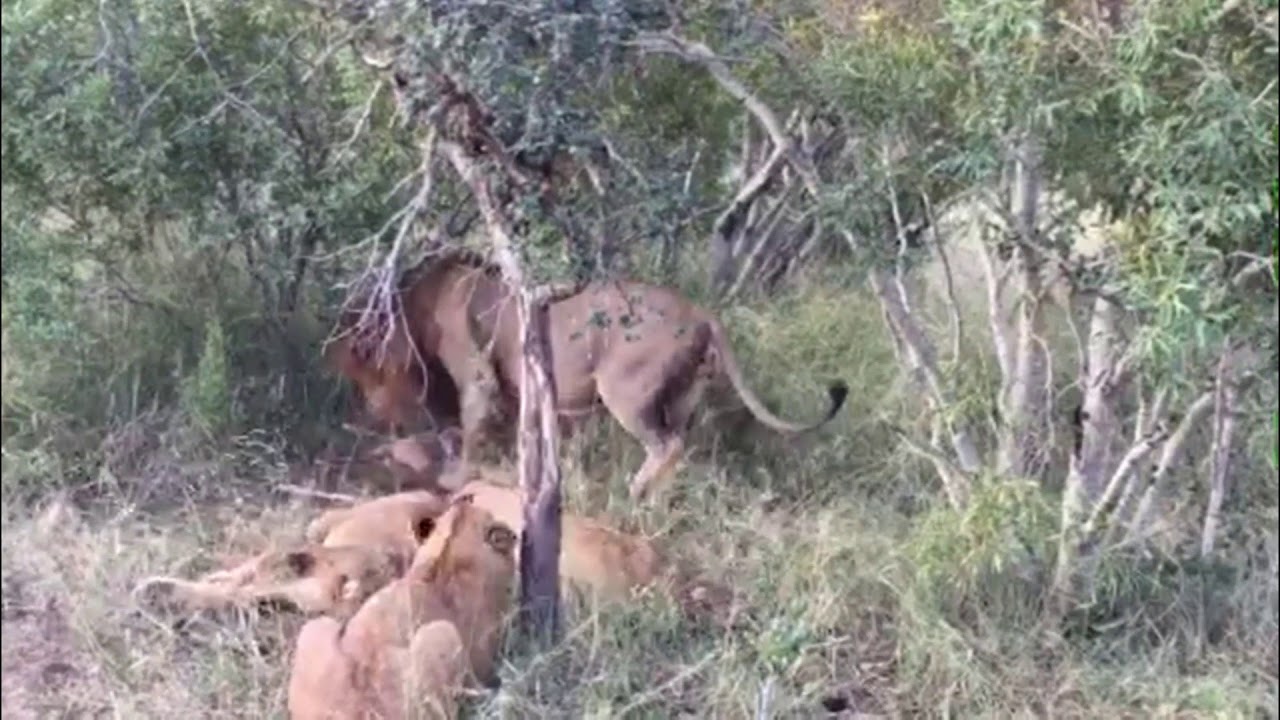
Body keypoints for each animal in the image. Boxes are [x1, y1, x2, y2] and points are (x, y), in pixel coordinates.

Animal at [328, 250, 849, 501]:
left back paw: (635, 492)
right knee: (680, 444)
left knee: (667, 445)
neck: (417, 305)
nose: (372, 414)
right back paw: (654, 496)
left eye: (362, 374)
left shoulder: (478, 377)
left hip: (625, 391)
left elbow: (471, 430)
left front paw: (454, 477)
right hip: (684, 395)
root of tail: (703, 313)